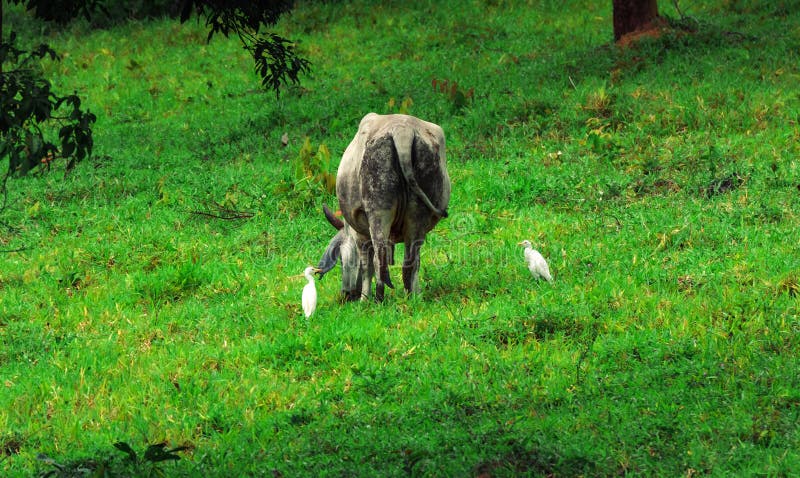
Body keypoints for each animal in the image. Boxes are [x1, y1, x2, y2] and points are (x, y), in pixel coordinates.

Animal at [316, 113, 451, 302]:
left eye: (342, 260)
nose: (346, 294)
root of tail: (402, 130)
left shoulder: (360, 235)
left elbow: (367, 267)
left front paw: (365, 298)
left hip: (378, 208)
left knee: (379, 259)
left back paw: (378, 298)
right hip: (418, 211)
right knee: (411, 262)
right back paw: (413, 297)